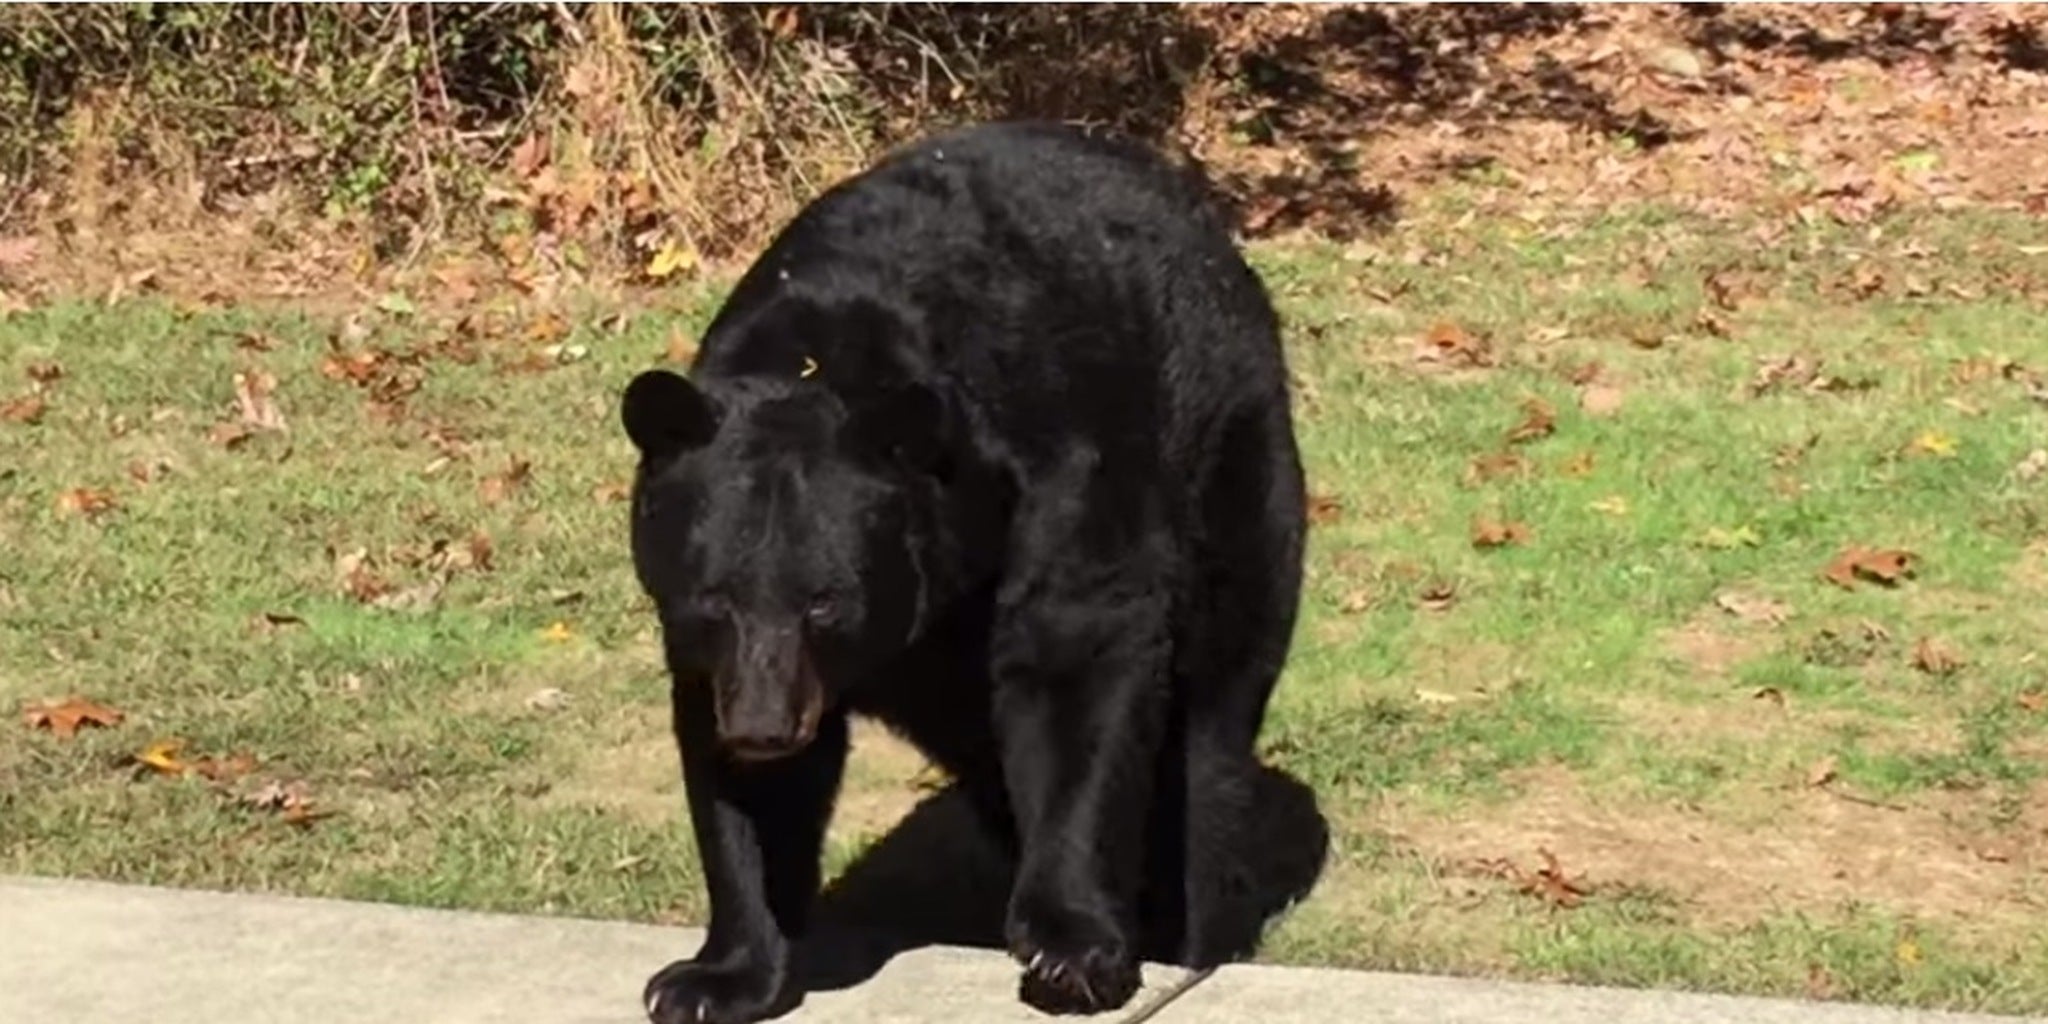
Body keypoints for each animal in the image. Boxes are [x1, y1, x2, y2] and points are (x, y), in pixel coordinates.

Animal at [620, 120, 1313, 1024]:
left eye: (826, 604)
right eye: (712, 599)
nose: (766, 728)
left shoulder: (1059, 479)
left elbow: (1076, 666)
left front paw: (1070, 948)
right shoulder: (725, 655)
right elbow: (743, 786)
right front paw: (716, 975)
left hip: (1228, 475)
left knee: (1205, 747)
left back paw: (1186, 922)